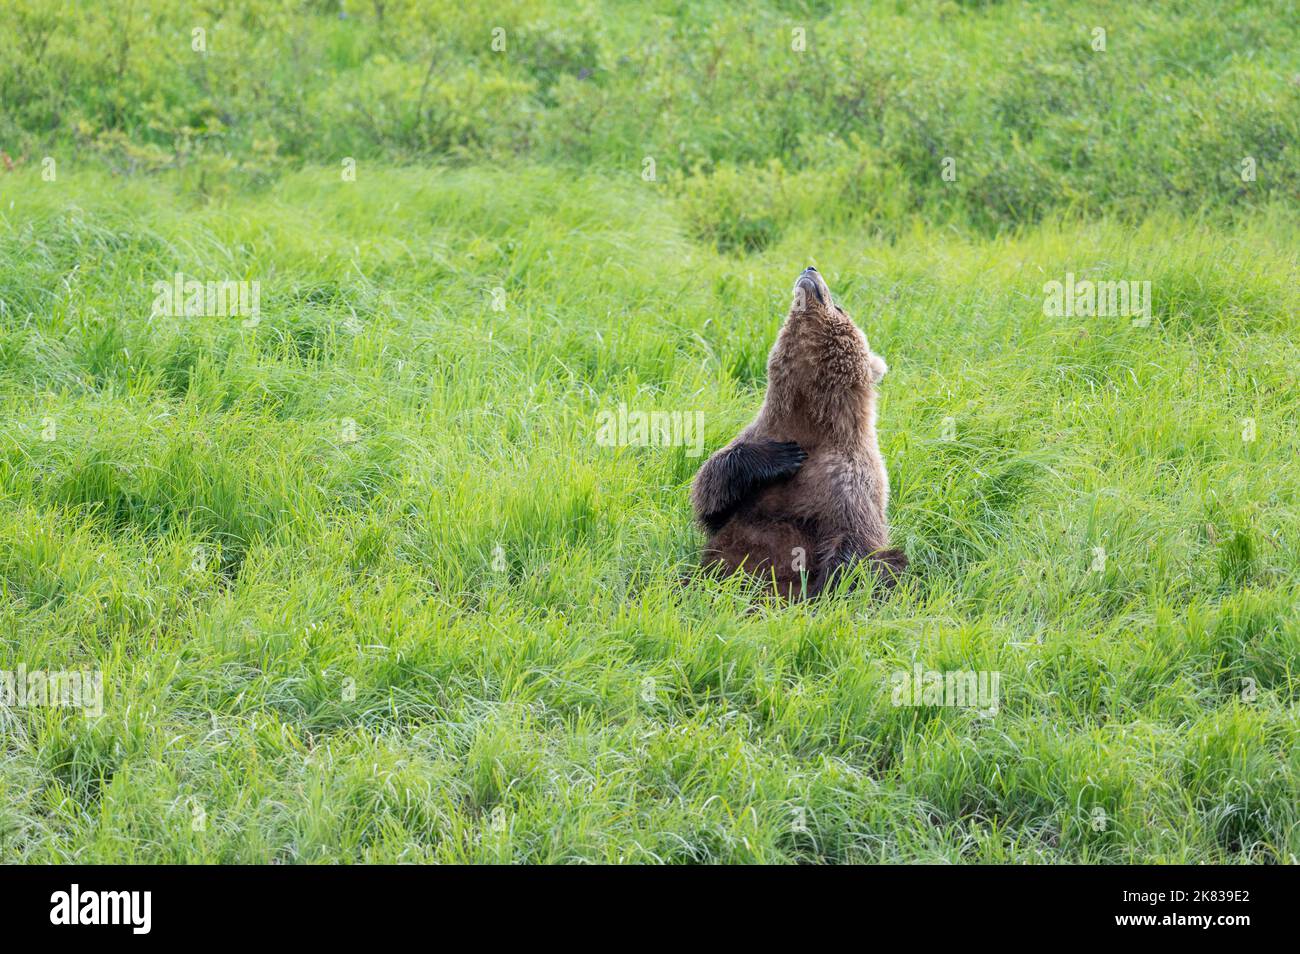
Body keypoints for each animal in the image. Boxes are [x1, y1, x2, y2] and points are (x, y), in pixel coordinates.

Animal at [691, 266, 906, 599]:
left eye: (839, 306)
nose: (810, 270)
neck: (809, 423)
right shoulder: (759, 436)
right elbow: (710, 493)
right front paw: (781, 456)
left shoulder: (848, 479)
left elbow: (856, 543)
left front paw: (818, 592)